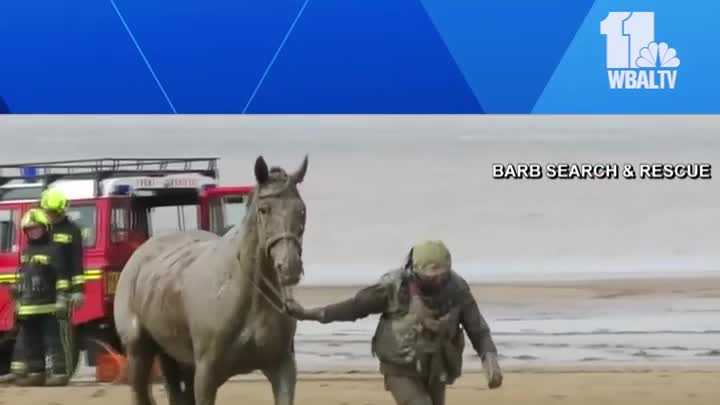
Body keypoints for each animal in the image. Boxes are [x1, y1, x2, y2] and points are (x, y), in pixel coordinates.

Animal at [114, 155, 308, 405]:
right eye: (264, 209)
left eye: (301, 210)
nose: (289, 266)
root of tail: (140, 254)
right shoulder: (206, 374)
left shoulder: (282, 367)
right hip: (138, 351)